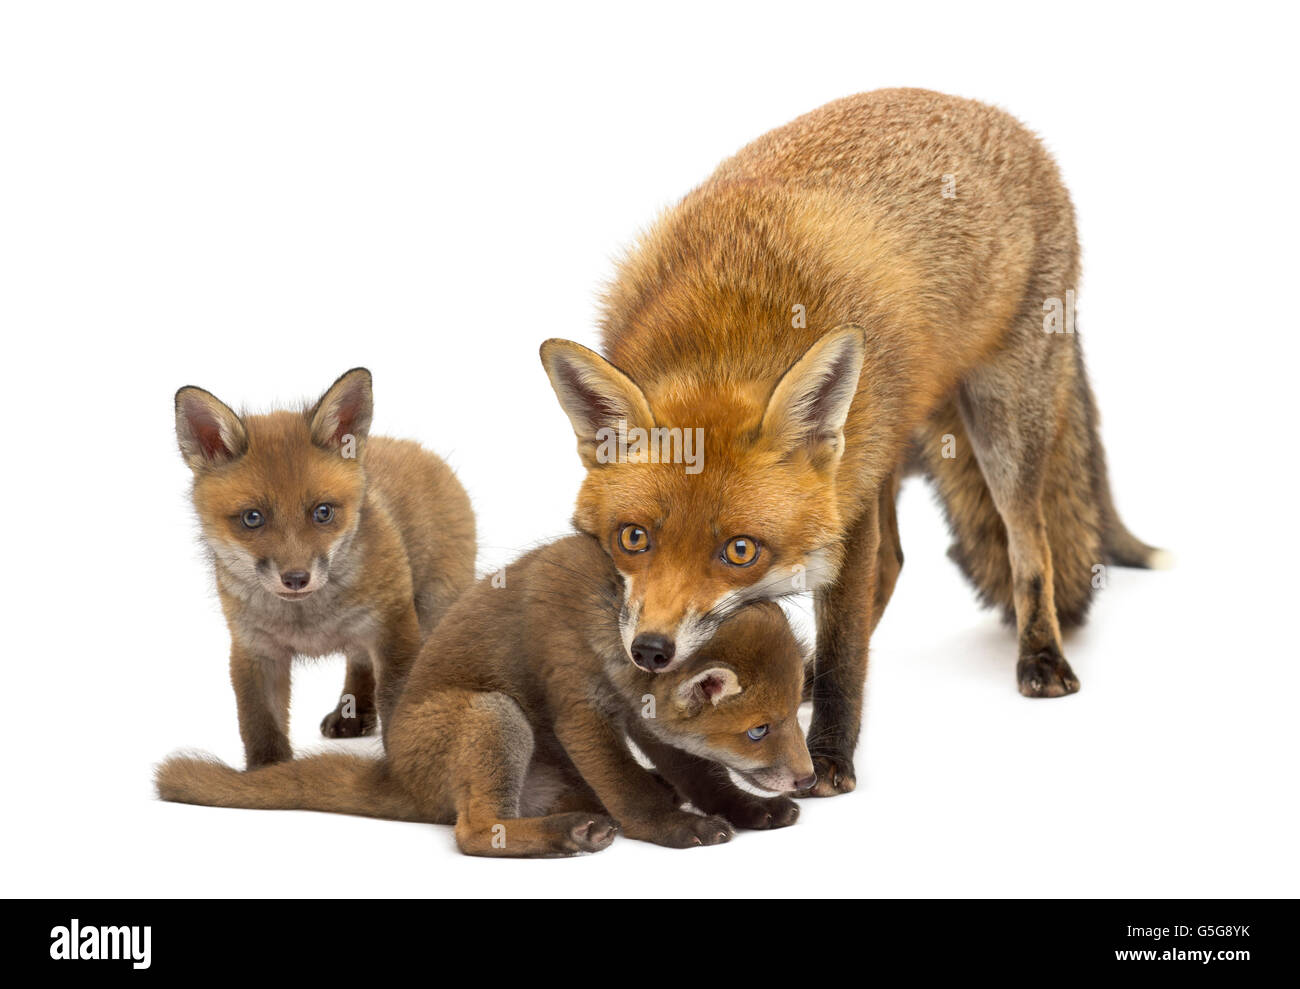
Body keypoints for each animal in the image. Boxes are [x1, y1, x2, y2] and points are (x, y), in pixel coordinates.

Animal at [157, 534, 814, 857]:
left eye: (795, 717)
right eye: (758, 730)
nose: (809, 777)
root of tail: (397, 774)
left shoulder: (647, 722)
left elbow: (700, 775)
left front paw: (747, 810)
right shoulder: (579, 707)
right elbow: (628, 789)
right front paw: (675, 828)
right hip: (494, 716)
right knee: (473, 832)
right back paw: (568, 835)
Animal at [173, 367, 476, 768]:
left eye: (322, 512)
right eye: (252, 518)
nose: (296, 578)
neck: (308, 619)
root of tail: (417, 448)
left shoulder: (394, 627)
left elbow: (396, 700)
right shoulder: (254, 647)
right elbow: (260, 722)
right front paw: (266, 773)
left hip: (435, 609)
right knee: (359, 662)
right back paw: (354, 712)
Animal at [539, 88, 1162, 797]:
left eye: (740, 550)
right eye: (633, 538)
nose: (650, 650)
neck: (726, 331)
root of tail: (994, 113)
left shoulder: (848, 500)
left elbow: (844, 648)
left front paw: (831, 756)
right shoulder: (848, 479)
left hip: (1002, 425)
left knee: (1028, 545)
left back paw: (1042, 657)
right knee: (893, 562)